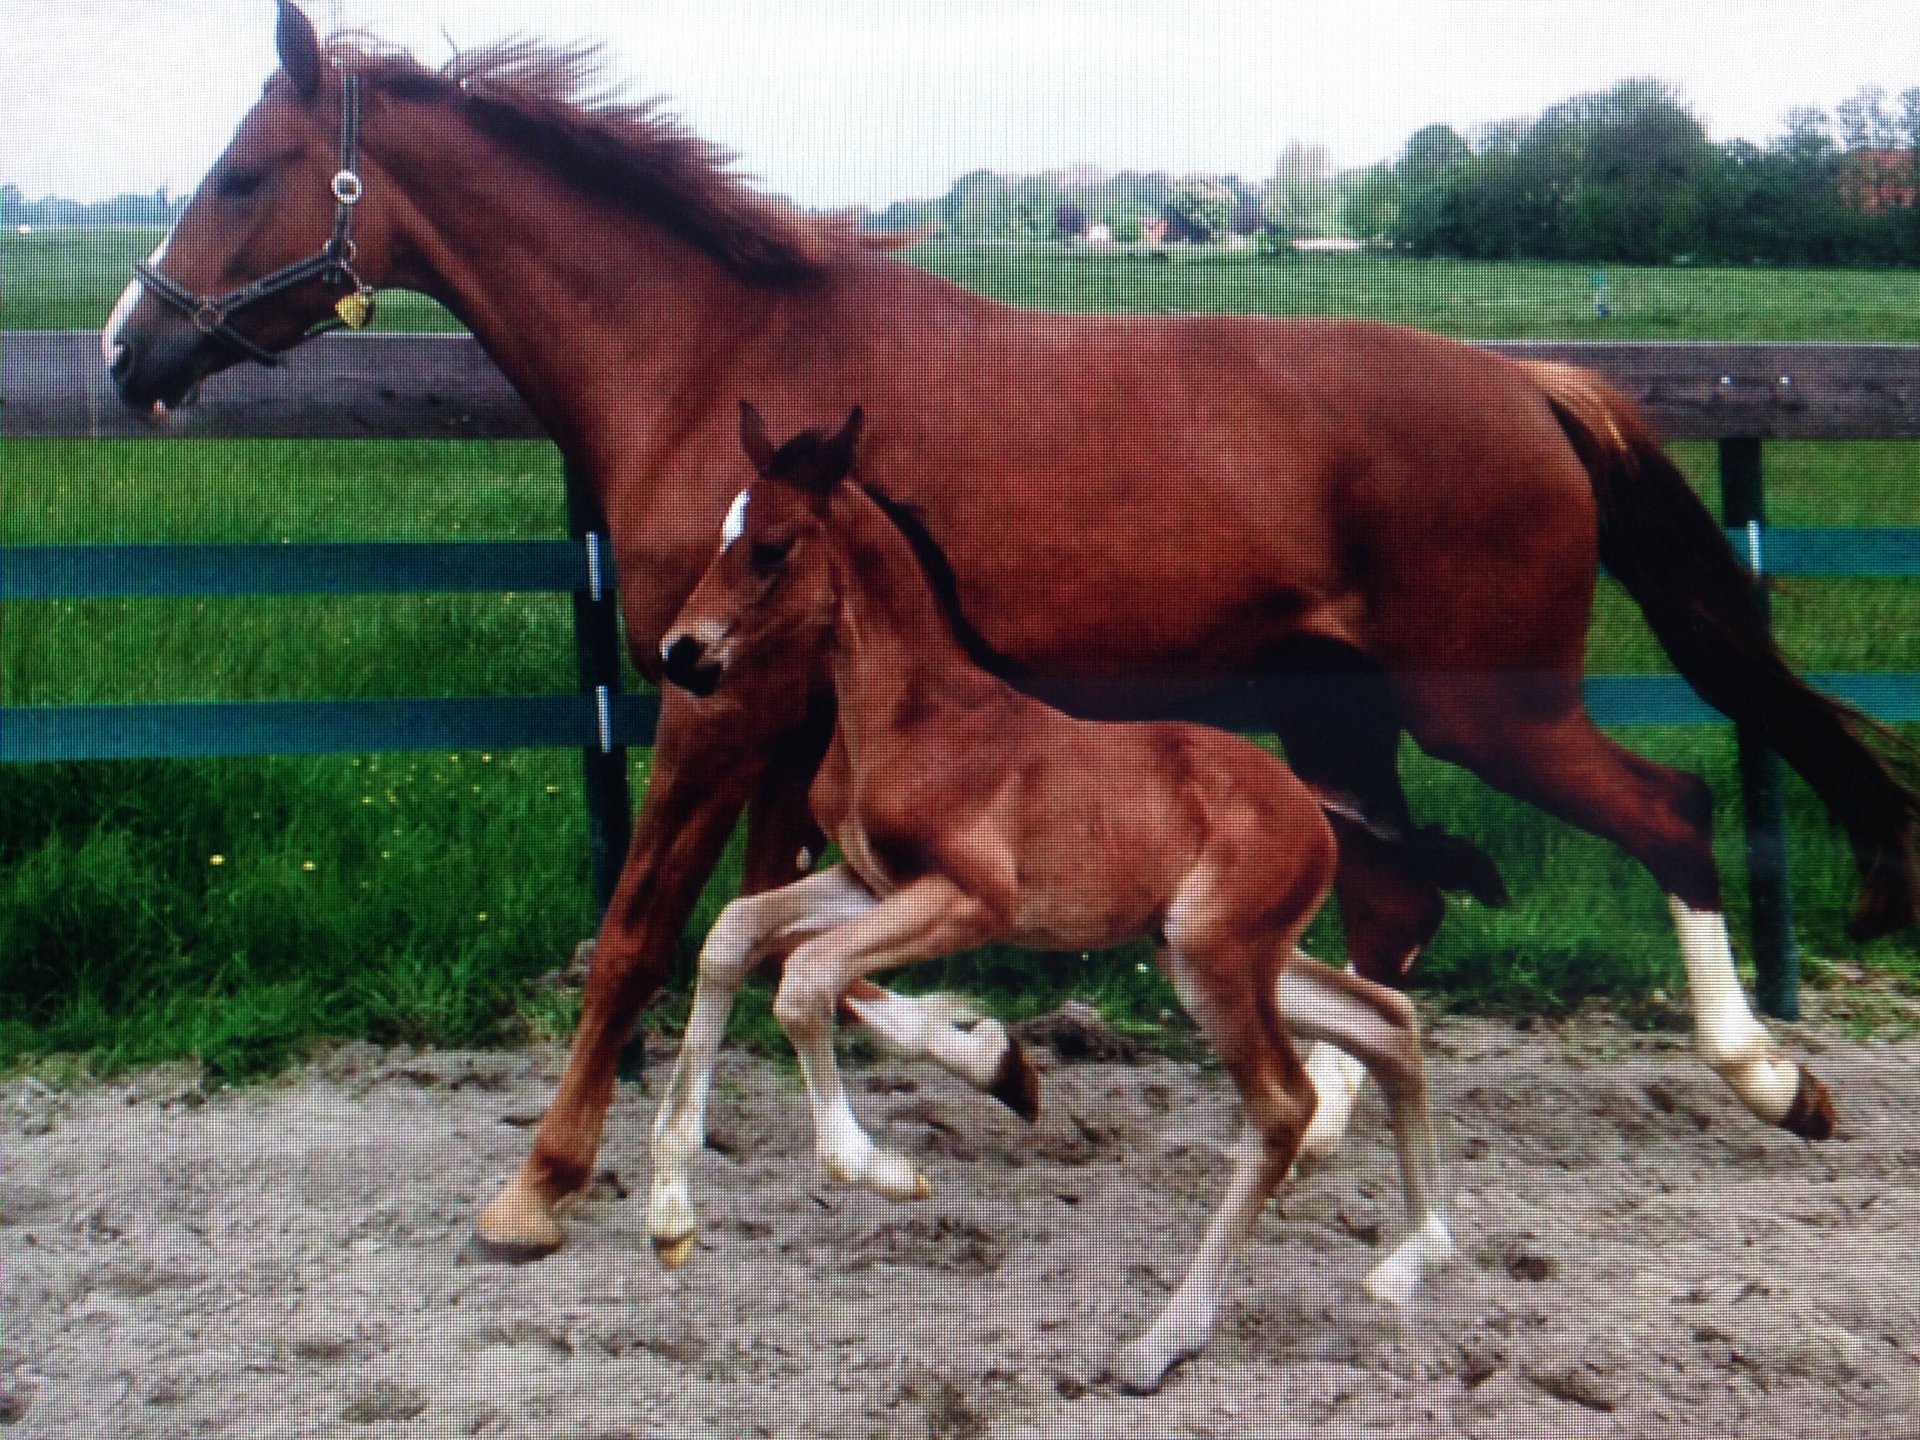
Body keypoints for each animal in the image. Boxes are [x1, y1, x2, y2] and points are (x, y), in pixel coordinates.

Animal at [104, 3, 1914, 1262]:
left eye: (242, 173)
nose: (131, 351)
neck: (709, 361)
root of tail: (1530, 380)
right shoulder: (796, 730)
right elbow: (775, 932)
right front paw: (965, 1069)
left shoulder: (713, 709)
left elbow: (643, 932)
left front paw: (541, 1186)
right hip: (1341, 721)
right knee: (1397, 899)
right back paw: (1329, 1115)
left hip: (1494, 706)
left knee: (1669, 812)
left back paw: (1771, 1078)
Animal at [646, 403, 1458, 1392]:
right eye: (722, 534)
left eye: (769, 547)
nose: (681, 655)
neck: (912, 717)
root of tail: (1314, 805)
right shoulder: (869, 882)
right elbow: (735, 935)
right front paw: (670, 1215)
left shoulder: (971, 900)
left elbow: (803, 981)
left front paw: (878, 1169)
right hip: (1227, 952)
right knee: (1386, 1022)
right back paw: (1413, 1260)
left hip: (1214, 961)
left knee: (1284, 1104)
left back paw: (1162, 1340)